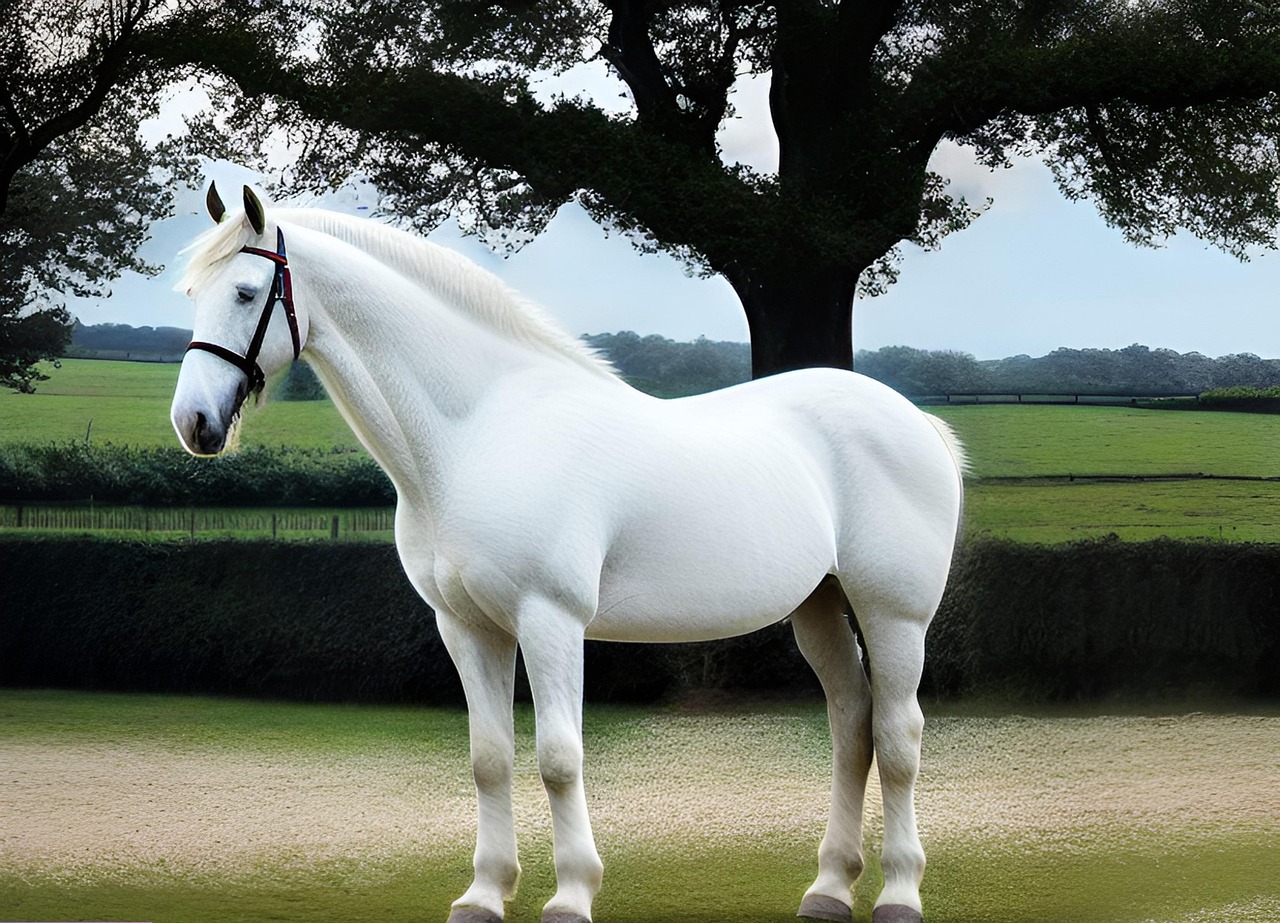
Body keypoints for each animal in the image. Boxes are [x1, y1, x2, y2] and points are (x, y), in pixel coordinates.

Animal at [170, 183, 966, 923]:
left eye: (245, 292)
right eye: (193, 294)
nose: (194, 422)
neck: (479, 432)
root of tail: (916, 422)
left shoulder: (548, 619)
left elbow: (558, 757)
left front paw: (572, 895)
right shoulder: (467, 627)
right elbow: (489, 758)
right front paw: (484, 894)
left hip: (893, 615)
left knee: (897, 736)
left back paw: (900, 892)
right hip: (820, 607)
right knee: (850, 725)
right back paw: (829, 887)